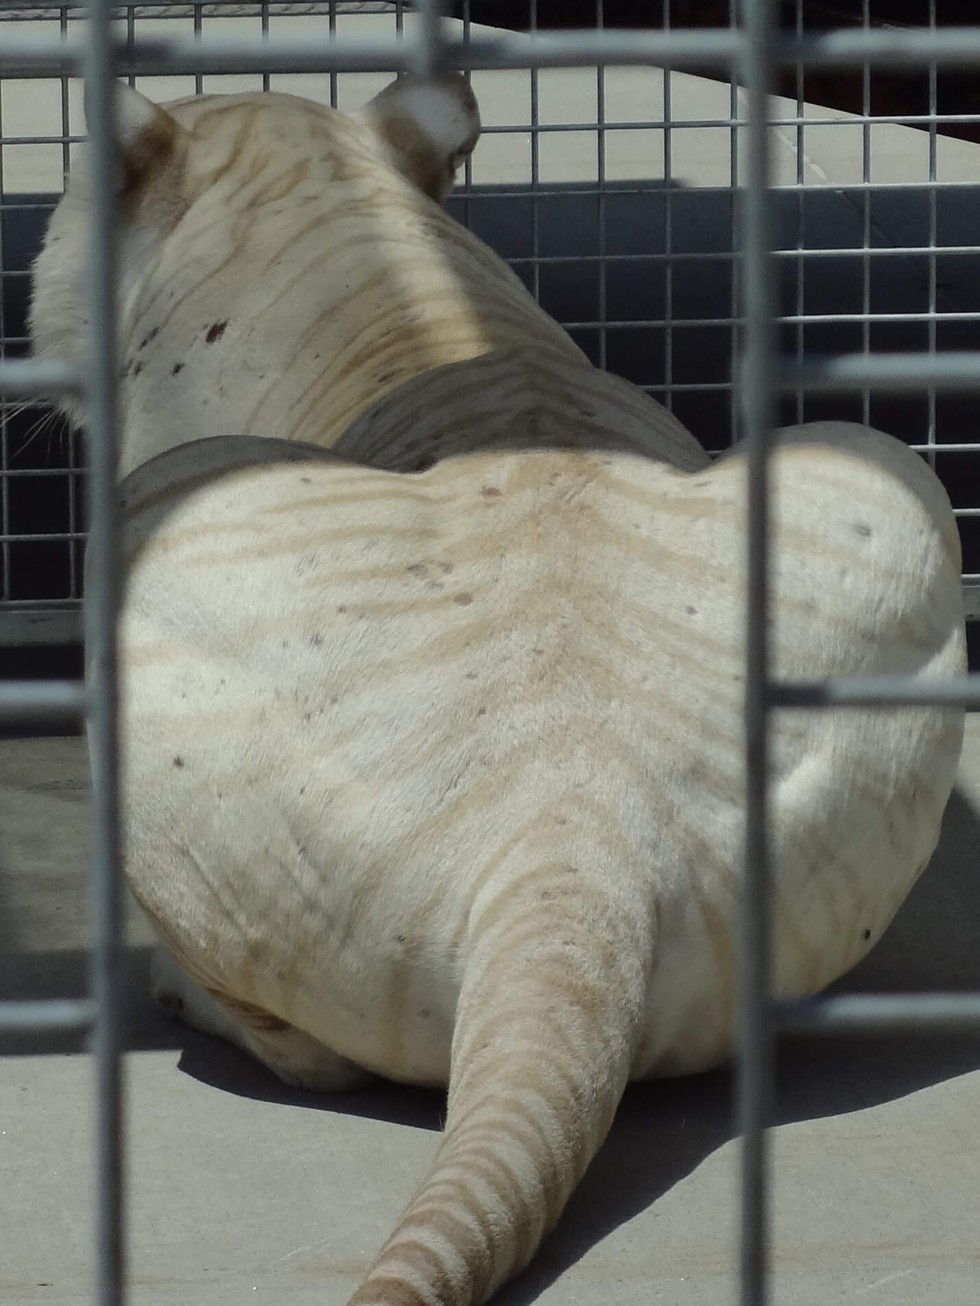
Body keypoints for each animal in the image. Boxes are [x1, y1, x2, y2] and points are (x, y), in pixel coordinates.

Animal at [29, 73, 965, 1306]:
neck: (323, 189)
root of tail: (575, 842)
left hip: (154, 522)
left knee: (305, 1051)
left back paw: (177, 994)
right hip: (889, 484)